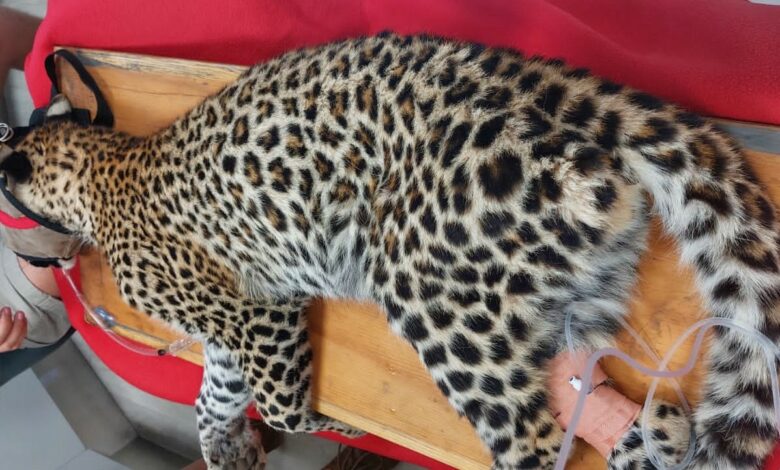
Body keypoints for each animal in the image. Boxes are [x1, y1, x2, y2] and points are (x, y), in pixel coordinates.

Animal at [3, 32, 780, 469]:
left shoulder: (258, 316)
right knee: (598, 384)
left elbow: (276, 403)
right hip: (558, 291)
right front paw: (226, 447)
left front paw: (316, 425)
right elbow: (211, 396)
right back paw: (650, 440)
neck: (97, 167)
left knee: (528, 442)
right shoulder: (228, 334)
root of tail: (566, 96)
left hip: (427, 292)